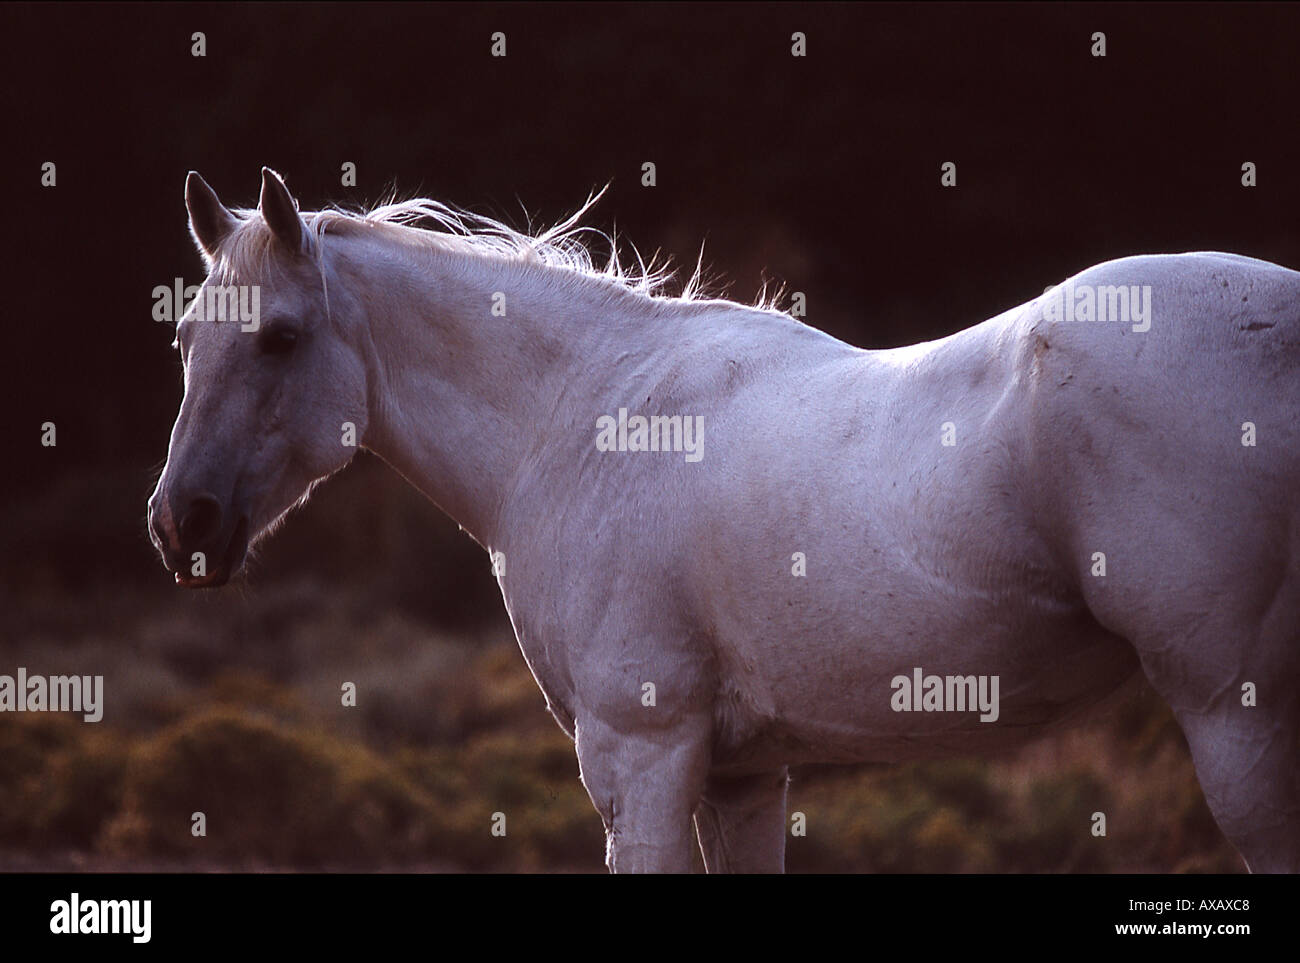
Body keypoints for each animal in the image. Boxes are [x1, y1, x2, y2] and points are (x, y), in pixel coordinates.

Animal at [148, 168, 1300, 873]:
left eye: (280, 338)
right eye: (185, 341)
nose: (180, 523)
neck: (584, 417)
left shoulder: (641, 760)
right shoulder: (743, 777)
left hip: (1232, 720)